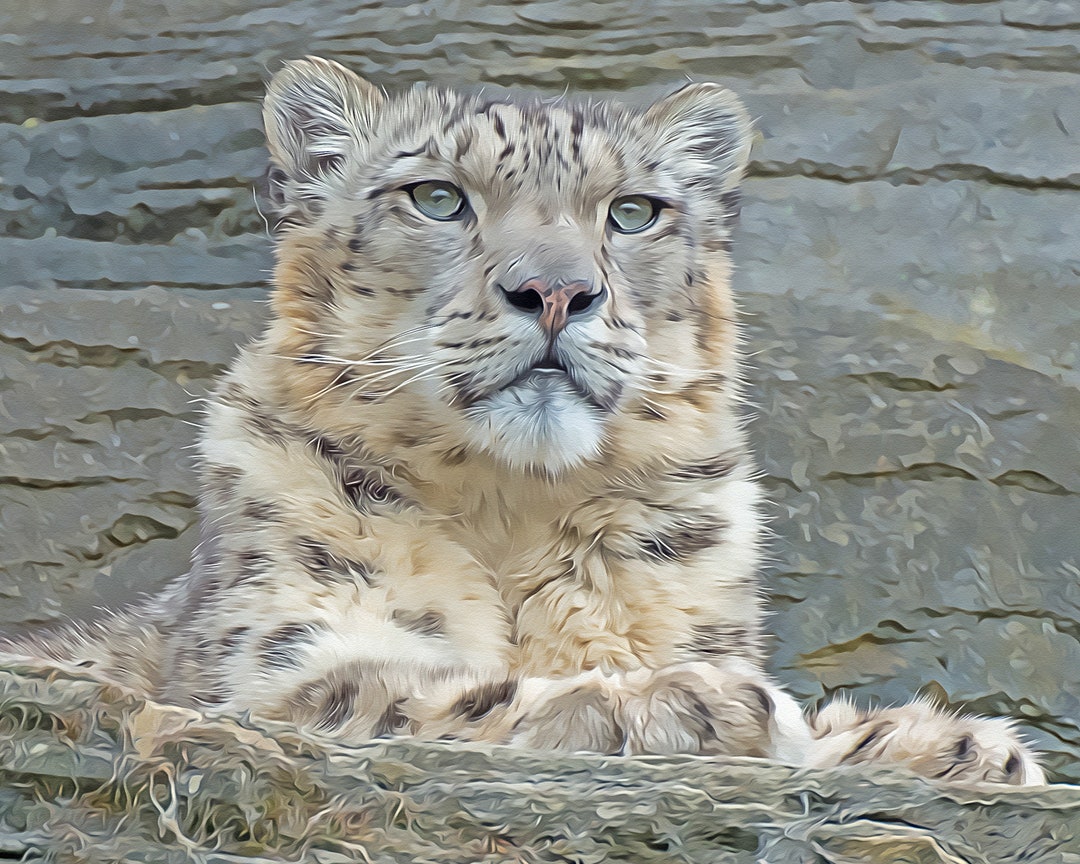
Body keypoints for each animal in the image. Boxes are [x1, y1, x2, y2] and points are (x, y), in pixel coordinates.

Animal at [2, 56, 1044, 785]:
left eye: (633, 211)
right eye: (436, 196)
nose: (556, 291)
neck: (512, 510)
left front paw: (948, 744)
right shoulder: (275, 666)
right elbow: (415, 696)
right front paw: (684, 703)